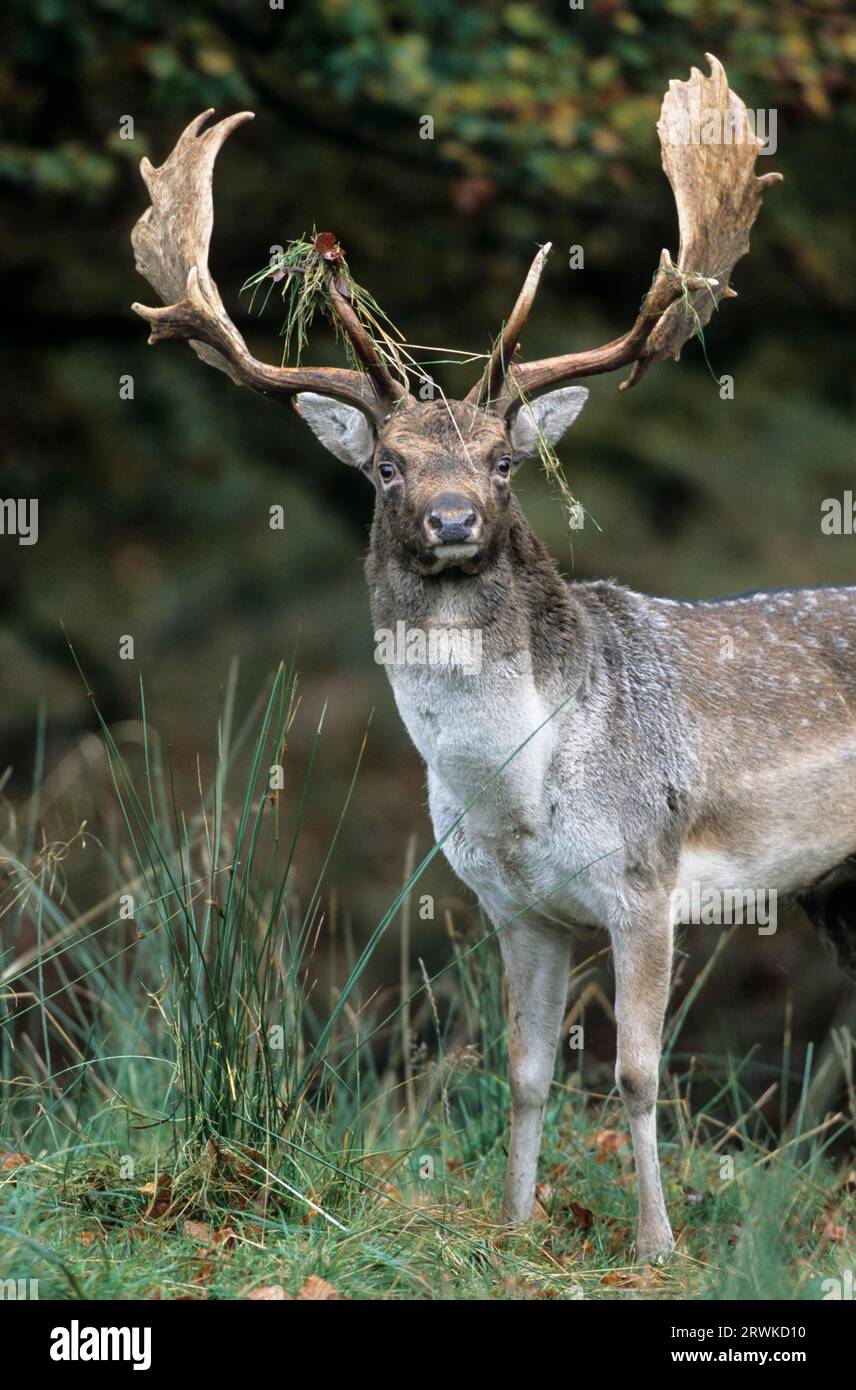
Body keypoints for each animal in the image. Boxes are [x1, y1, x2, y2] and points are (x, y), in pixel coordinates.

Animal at [131, 55, 856, 1263]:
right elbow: (522, 1073)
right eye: (385, 464)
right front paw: (514, 1226)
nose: (456, 518)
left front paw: (656, 1246)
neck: (519, 788)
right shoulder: (511, 906)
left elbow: (639, 1073)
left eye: (505, 461)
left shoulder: (645, 875)